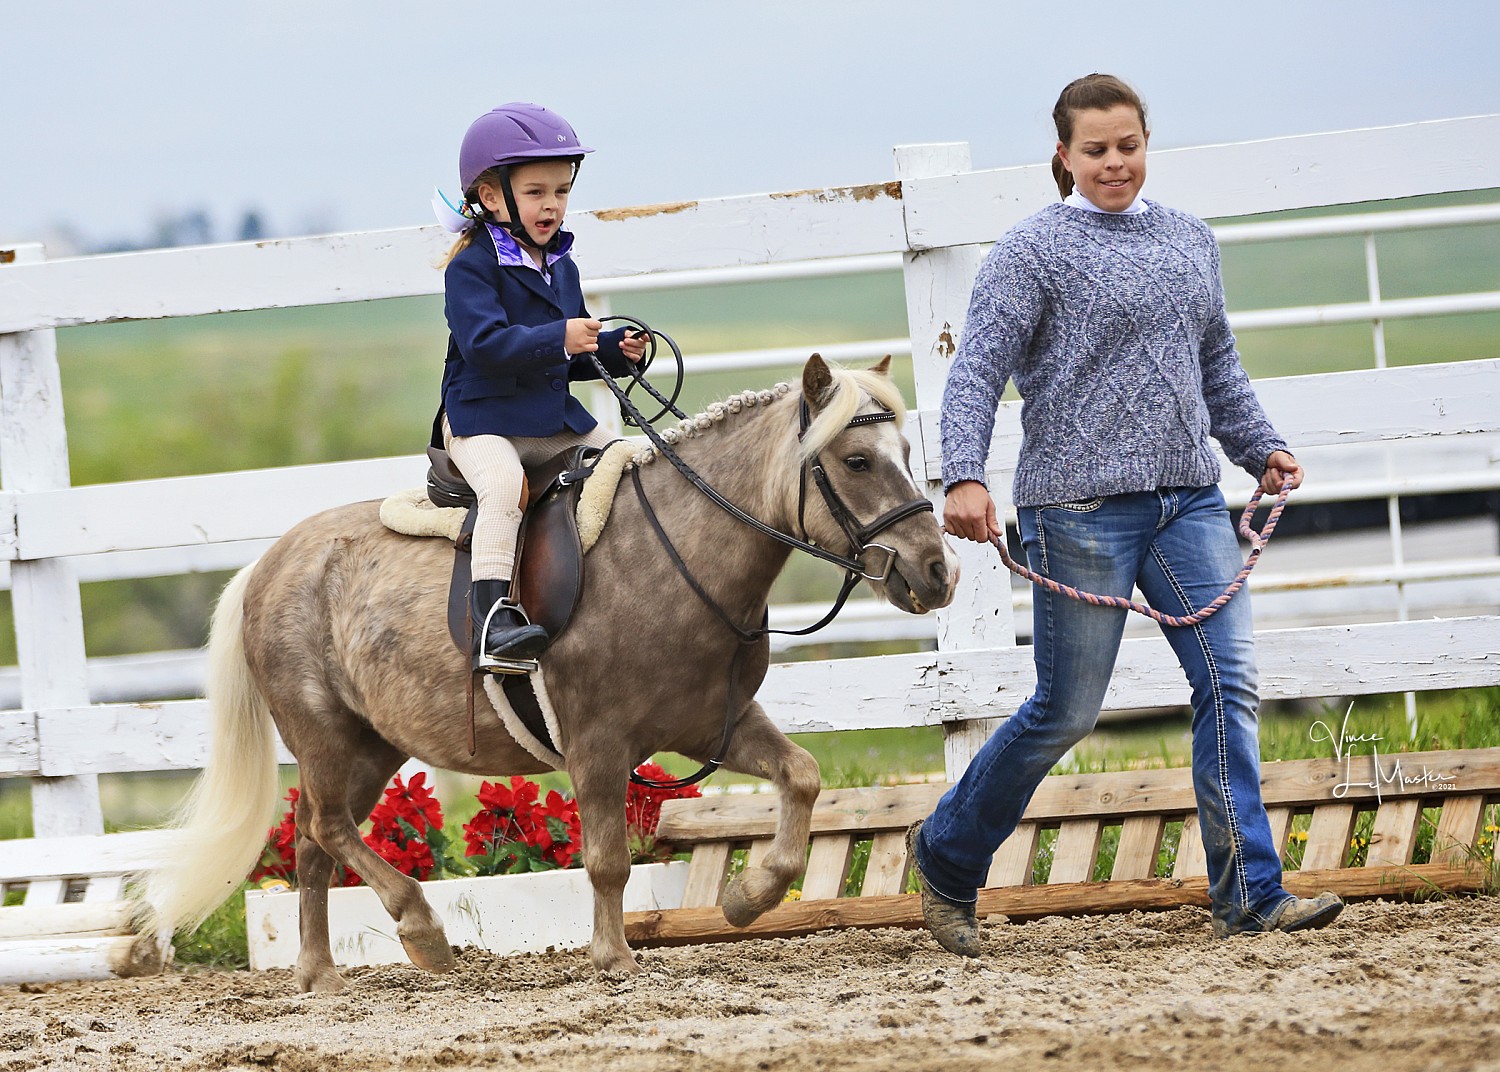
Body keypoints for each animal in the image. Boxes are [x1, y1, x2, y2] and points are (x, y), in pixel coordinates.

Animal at [138, 354, 959, 993]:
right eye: (857, 461)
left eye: (905, 450)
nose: (938, 571)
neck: (676, 553)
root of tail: (270, 562)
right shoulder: (597, 744)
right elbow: (607, 861)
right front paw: (615, 958)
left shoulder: (710, 725)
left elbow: (802, 777)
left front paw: (746, 900)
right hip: (323, 733)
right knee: (328, 827)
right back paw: (422, 931)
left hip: (373, 744)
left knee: (313, 841)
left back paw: (320, 973)